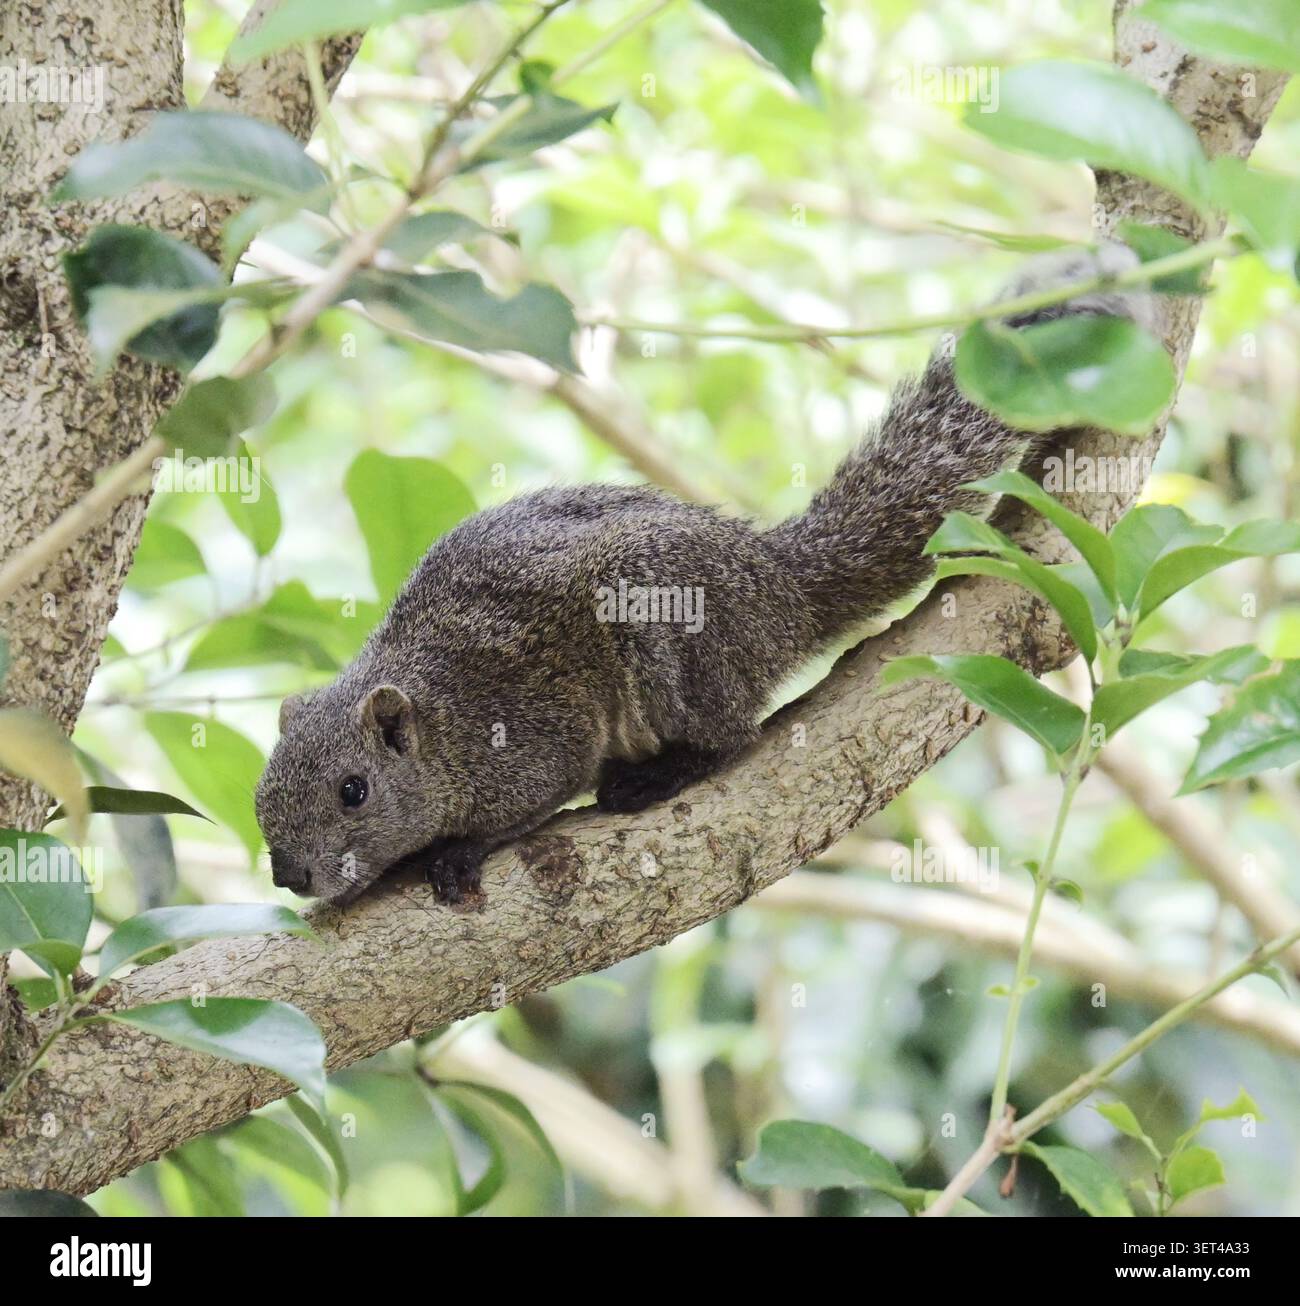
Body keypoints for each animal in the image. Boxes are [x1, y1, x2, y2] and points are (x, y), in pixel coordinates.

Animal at [255, 244, 1155, 905]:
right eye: (265, 790)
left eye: (353, 791)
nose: (289, 875)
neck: (440, 722)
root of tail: (778, 586)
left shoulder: (528, 737)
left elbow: (531, 798)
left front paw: (453, 853)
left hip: (661, 618)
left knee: (733, 736)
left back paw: (659, 775)